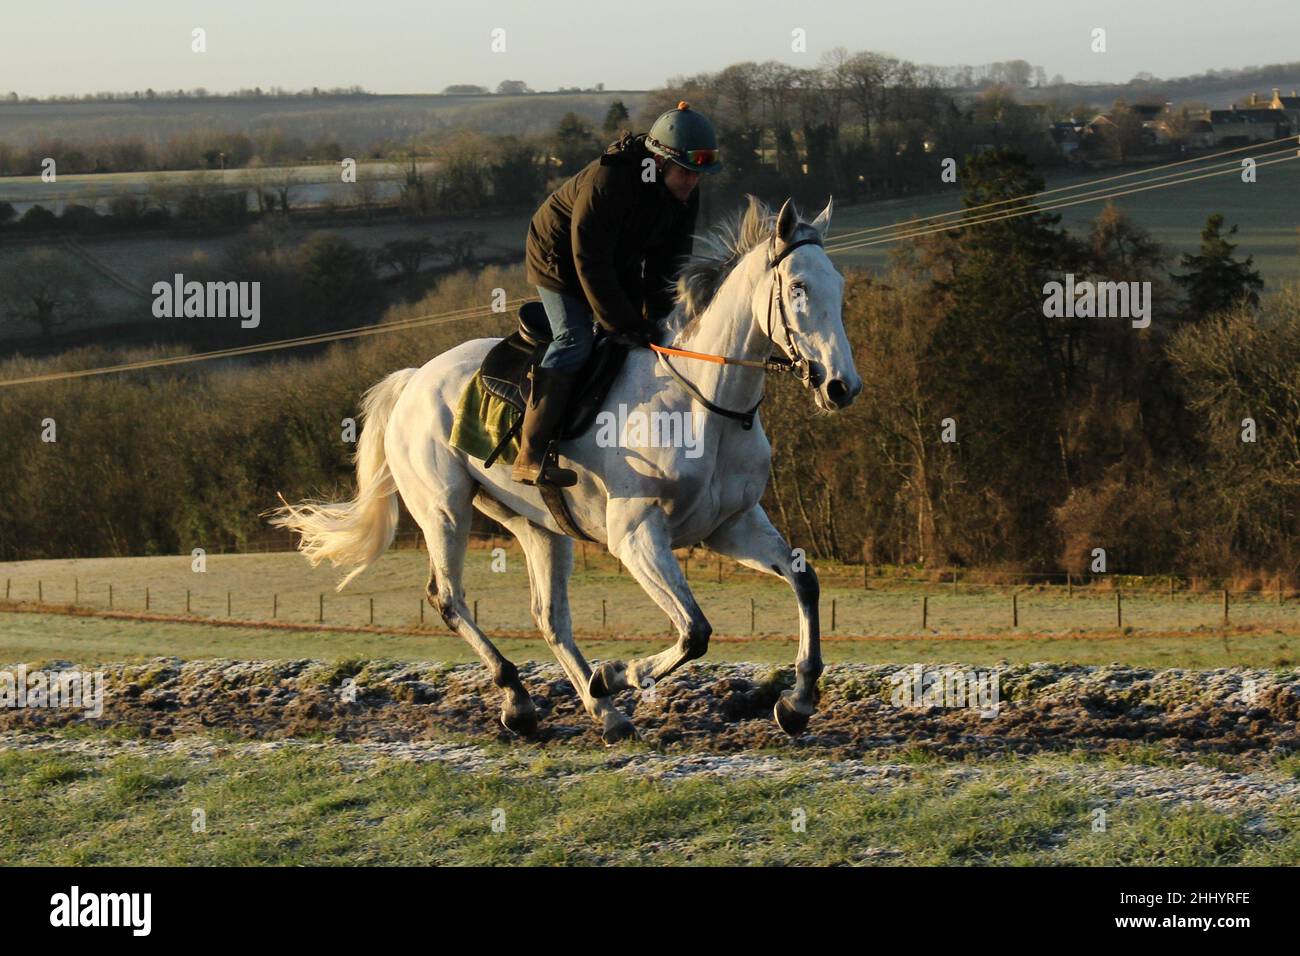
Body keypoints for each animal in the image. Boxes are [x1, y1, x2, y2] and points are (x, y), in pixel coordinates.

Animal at [270, 195, 861, 744]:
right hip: (444, 508)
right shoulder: (636, 534)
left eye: (838, 285)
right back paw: (523, 700)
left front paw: (796, 703)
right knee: (449, 598)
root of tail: (414, 379)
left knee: (549, 615)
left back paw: (603, 714)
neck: (701, 400)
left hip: (537, 524)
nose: (841, 387)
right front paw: (620, 672)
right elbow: (694, 630)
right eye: (799, 287)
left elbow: (804, 581)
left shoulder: (730, 525)